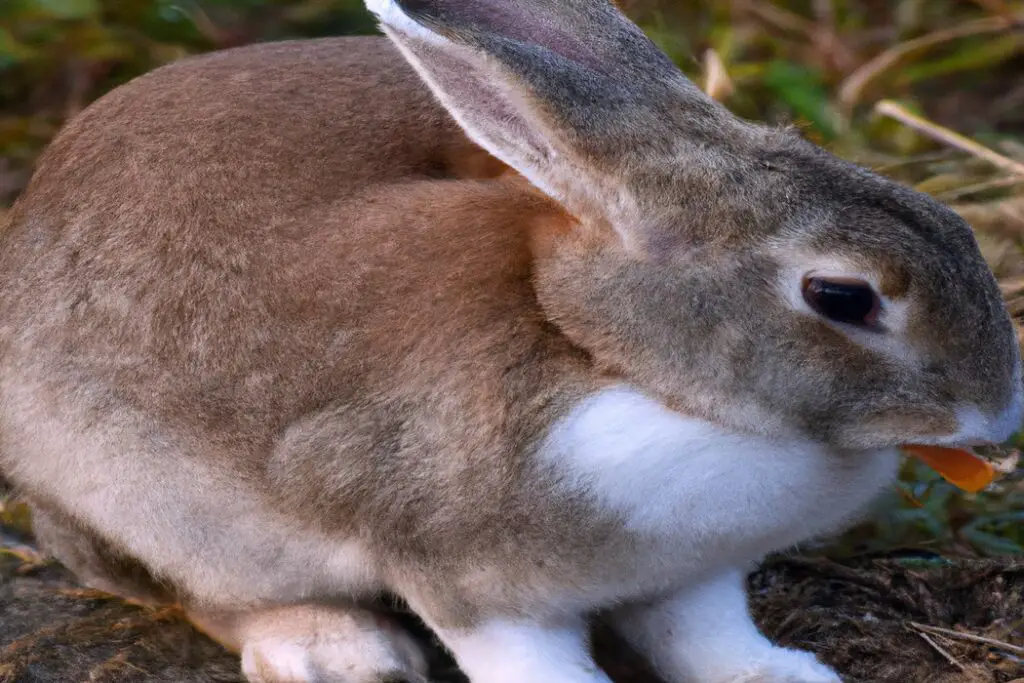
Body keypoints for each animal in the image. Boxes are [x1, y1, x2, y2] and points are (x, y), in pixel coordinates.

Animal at [0, 0, 1021, 681]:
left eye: (950, 222)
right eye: (840, 296)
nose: (999, 413)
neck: (603, 353)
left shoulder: (691, 575)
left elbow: (704, 634)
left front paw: (780, 675)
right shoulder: (468, 578)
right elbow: (530, 658)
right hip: (162, 510)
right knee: (209, 593)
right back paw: (337, 650)